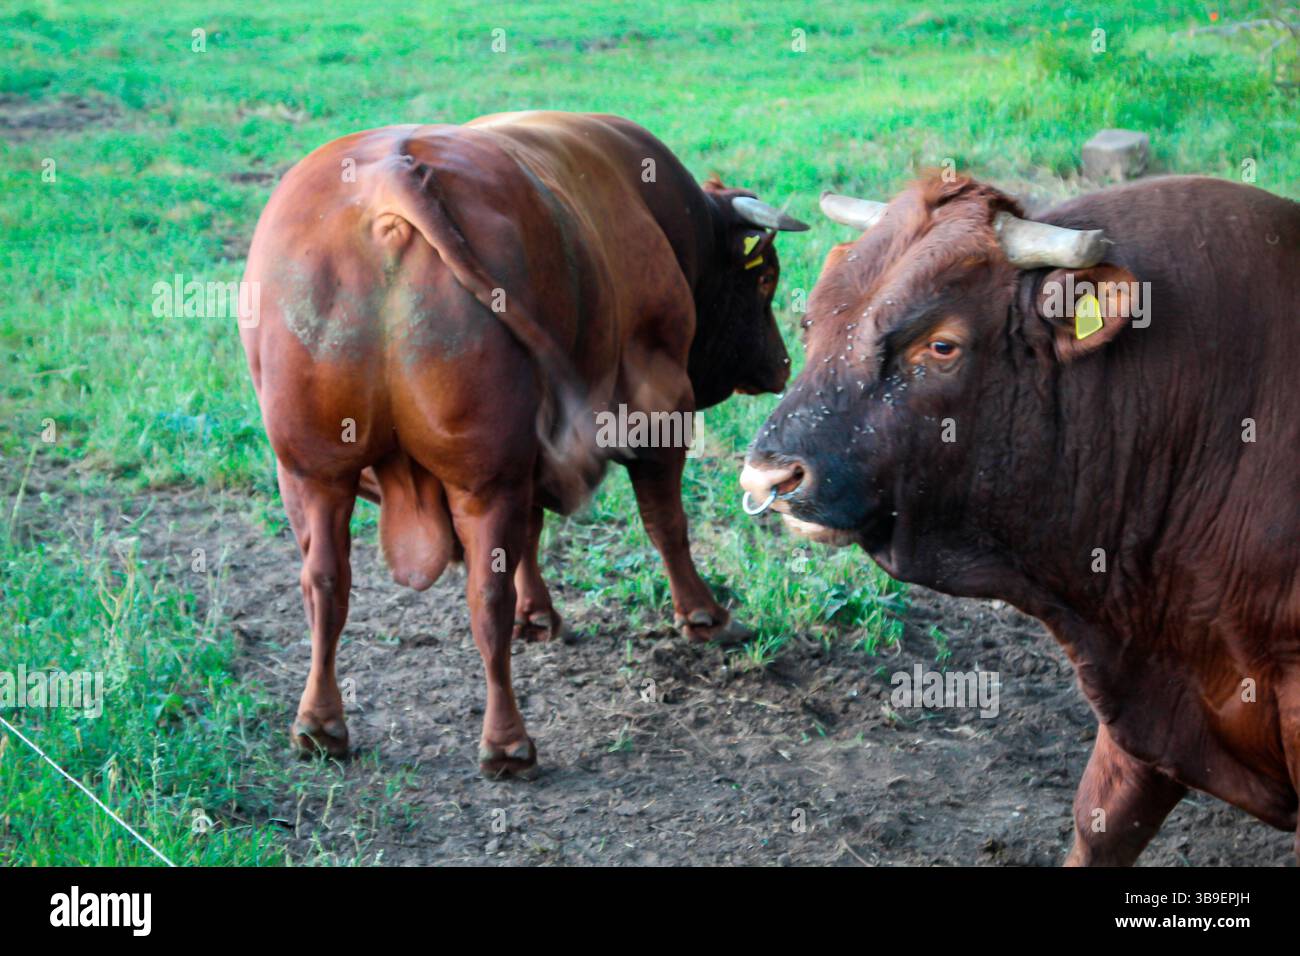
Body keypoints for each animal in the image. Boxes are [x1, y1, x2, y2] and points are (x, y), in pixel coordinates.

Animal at [239, 111, 807, 777]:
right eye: (765, 279)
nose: (782, 363)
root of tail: (390, 176)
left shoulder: (531, 452)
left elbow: (532, 535)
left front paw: (537, 615)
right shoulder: (659, 406)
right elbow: (666, 523)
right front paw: (702, 615)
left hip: (313, 472)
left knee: (326, 580)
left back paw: (320, 726)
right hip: (482, 479)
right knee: (483, 596)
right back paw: (507, 743)